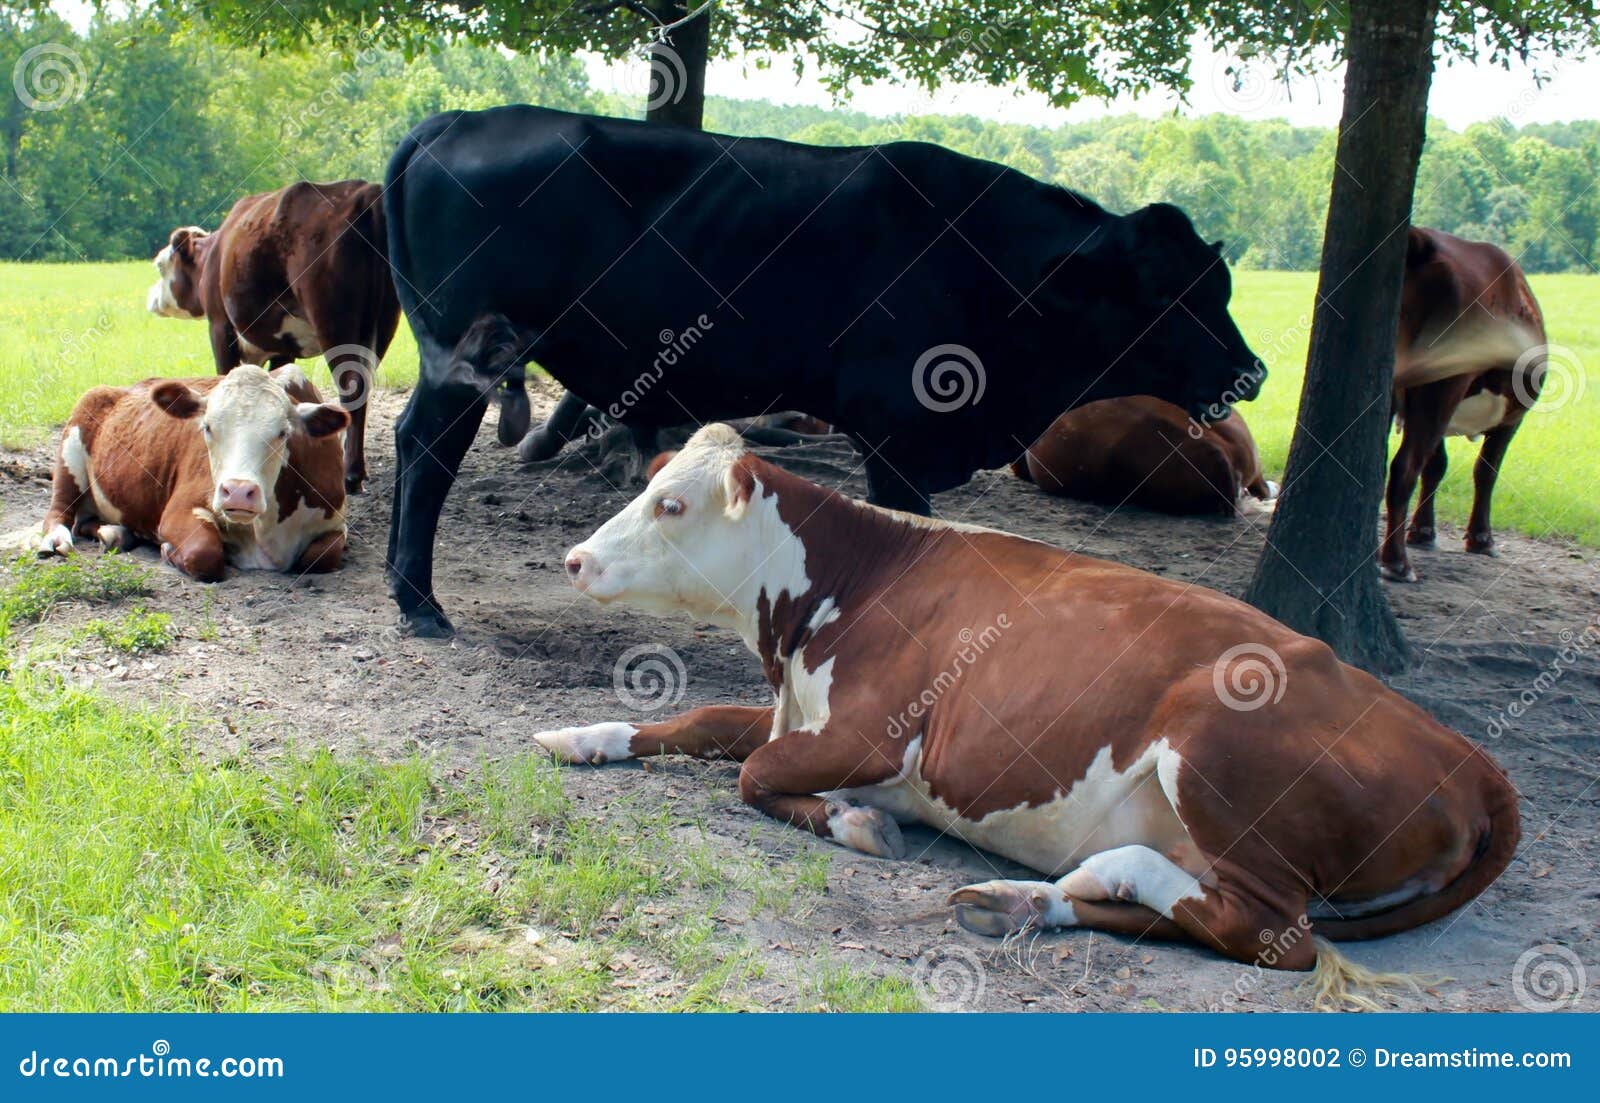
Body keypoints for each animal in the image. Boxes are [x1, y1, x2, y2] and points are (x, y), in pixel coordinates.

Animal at [39, 365, 350, 580]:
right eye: (207, 427)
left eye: (283, 433)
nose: (238, 492)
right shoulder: (180, 510)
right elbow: (205, 553)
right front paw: (168, 552)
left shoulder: (335, 521)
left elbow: (321, 556)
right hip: (72, 440)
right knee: (60, 510)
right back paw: (56, 539)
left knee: (85, 522)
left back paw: (114, 533)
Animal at [148, 179, 417, 496]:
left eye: (160, 265)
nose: (151, 298)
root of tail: (364, 192)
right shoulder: (282, 345)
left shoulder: (220, 327)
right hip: (382, 323)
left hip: (335, 323)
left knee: (352, 388)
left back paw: (350, 474)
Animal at [535, 424, 1518, 990]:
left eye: (671, 503)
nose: (576, 557)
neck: (847, 584)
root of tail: (1471, 760)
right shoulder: (800, 711)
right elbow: (702, 725)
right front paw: (580, 735)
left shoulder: (874, 733)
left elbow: (753, 773)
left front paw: (858, 822)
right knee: (1206, 914)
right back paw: (1023, 898)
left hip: (1222, 745)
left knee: (1274, 932)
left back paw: (1103, 868)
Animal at [1379, 227, 1546, 582]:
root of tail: (1422, 242)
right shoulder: (1510, 418)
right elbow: (1486, 470)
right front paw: (1482, 538)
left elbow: (1436, 466)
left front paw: (1423, 532)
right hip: (1442, 384)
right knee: (1404, 467)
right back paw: (1397, 563)